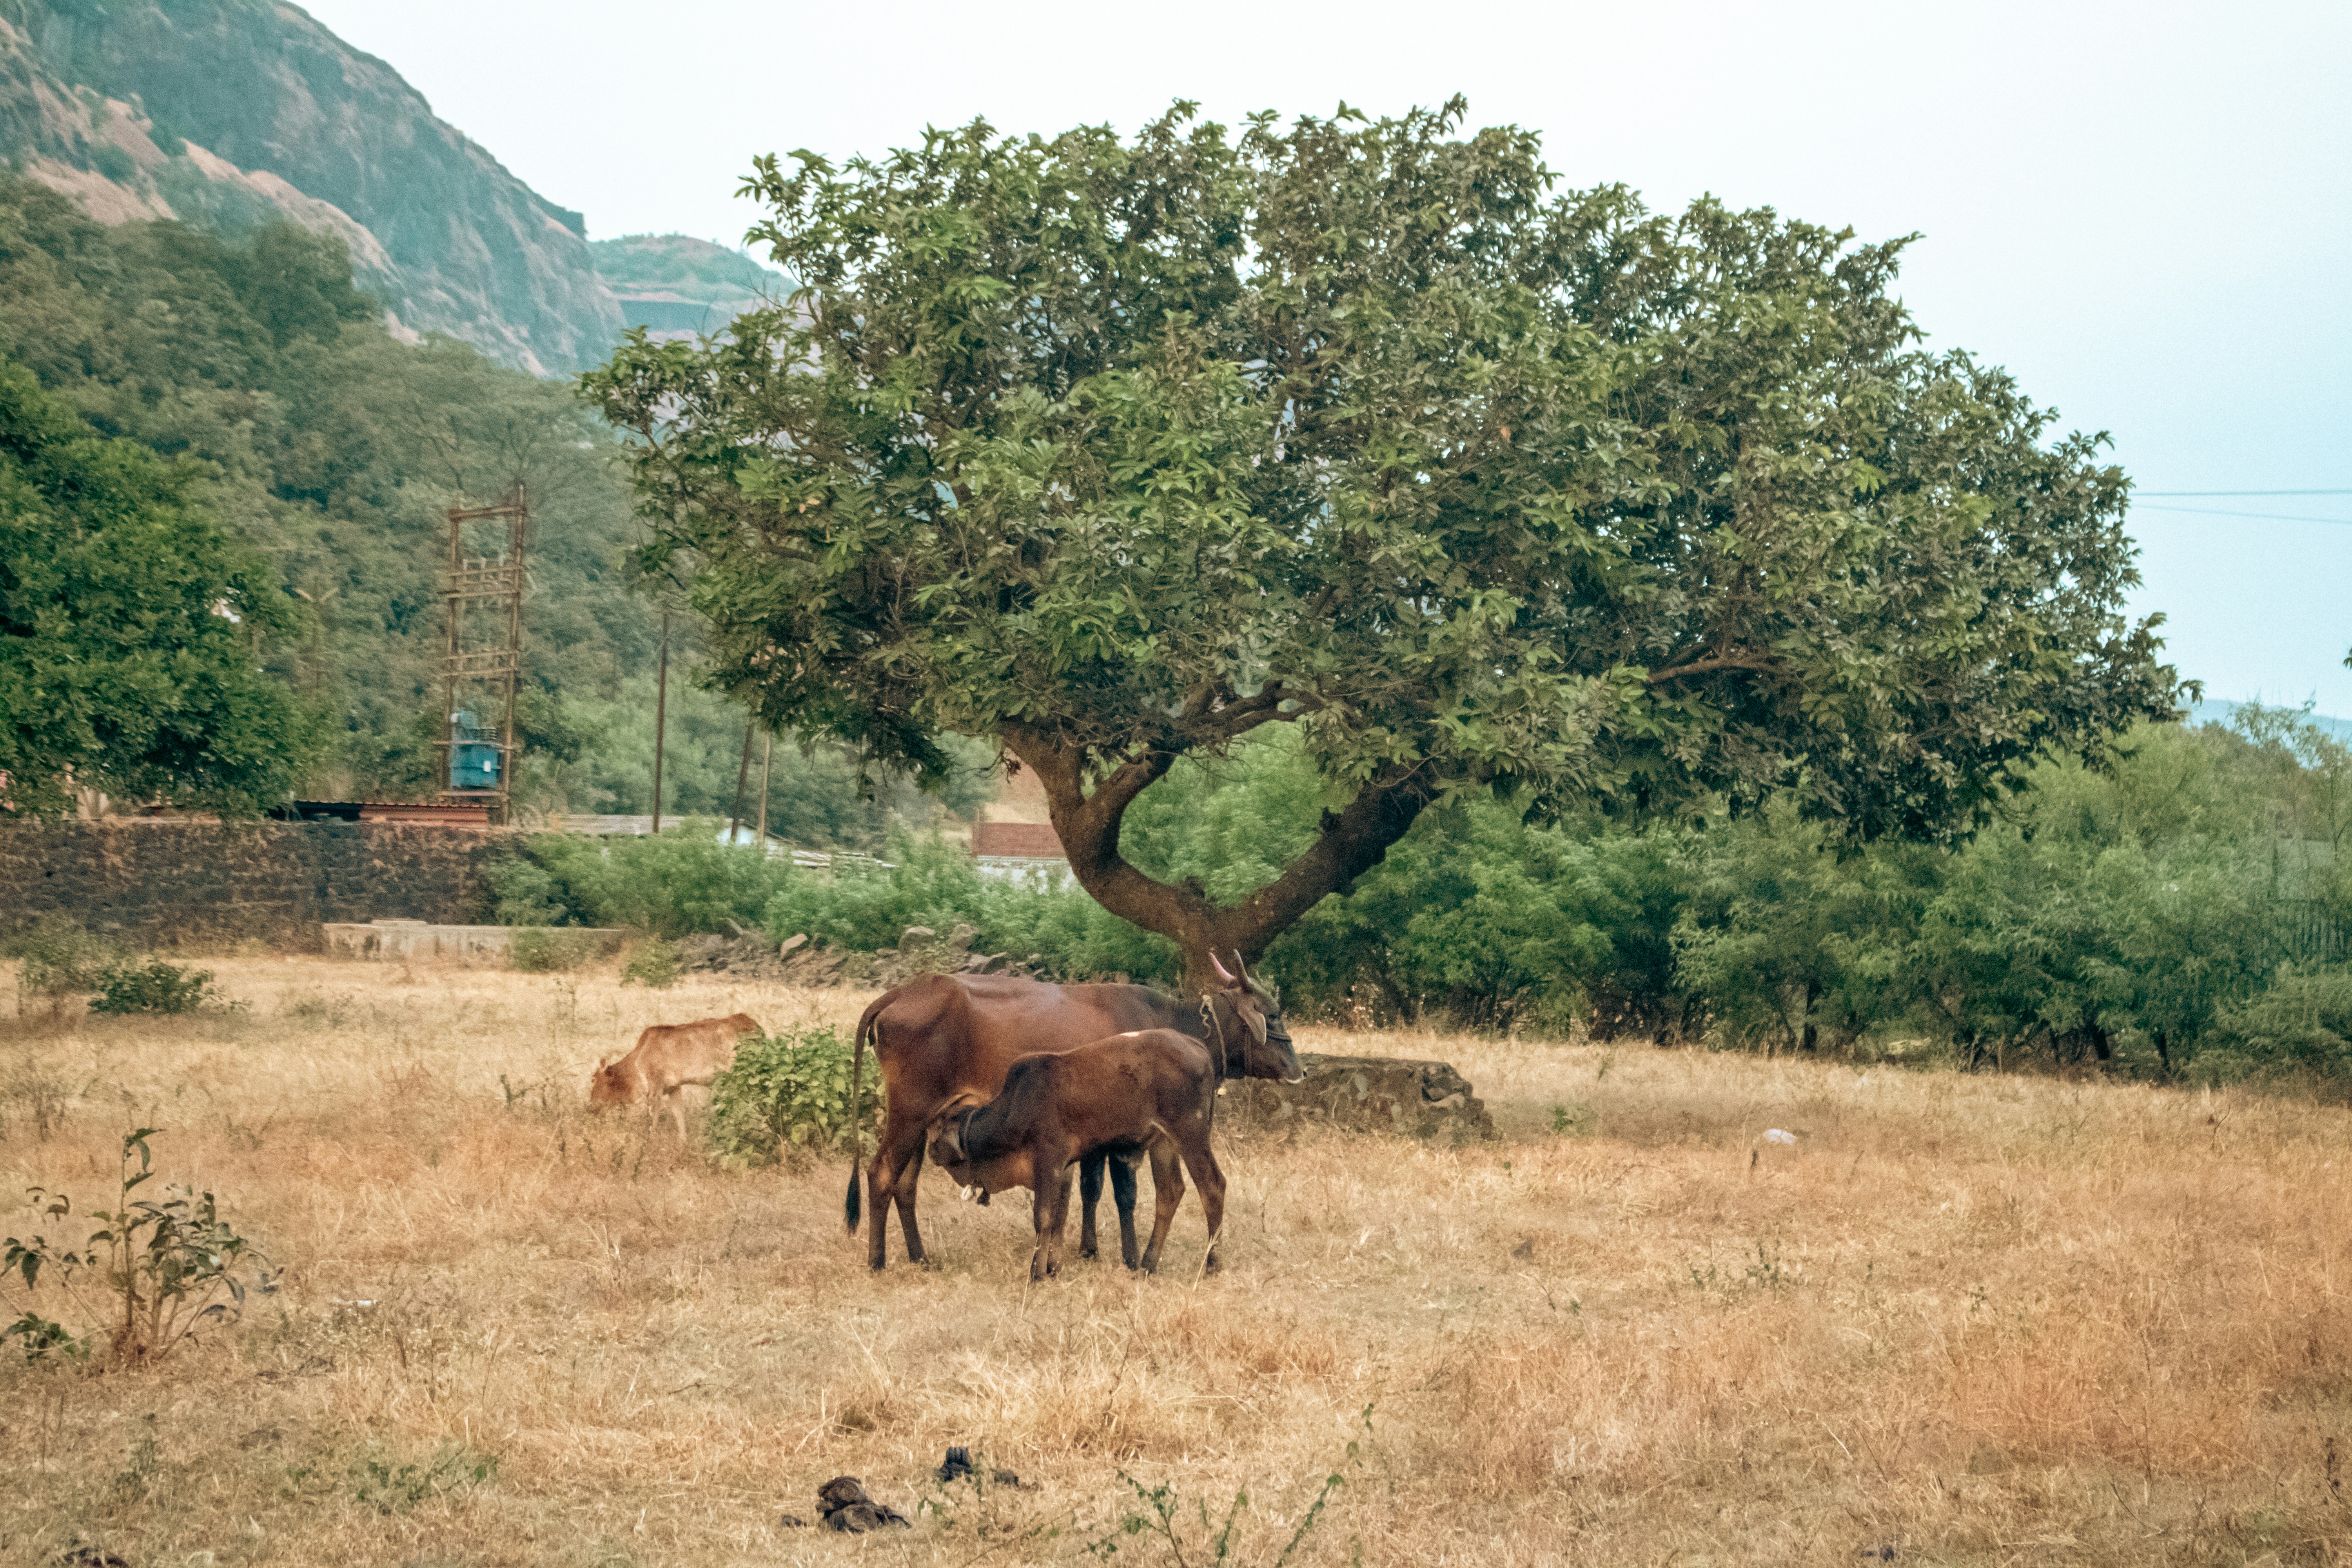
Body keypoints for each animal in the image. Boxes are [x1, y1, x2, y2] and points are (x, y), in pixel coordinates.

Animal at [587, 1012, 761, 1135]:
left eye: (594, 1080)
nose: (591, 1108)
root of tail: (751, 1023)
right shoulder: (674, 1088)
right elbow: (680, 1118)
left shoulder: (655, 1090)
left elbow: (654, 1122)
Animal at [927, 1028, 1225, 1280]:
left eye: (937, 1133)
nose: (930, 1152)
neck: (1017, 1106)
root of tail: (1196, 1045)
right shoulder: (1066, 1168)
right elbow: (1061, 1215)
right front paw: (1053, 1267)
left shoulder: (1048, 1160)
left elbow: (1044, 1217)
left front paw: (1037, 1274)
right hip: (1163, 1143)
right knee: (1169, 1193)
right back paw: (1148, 1265)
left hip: (1191, 1135)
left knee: (1213, 1187)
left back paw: (1213, 1265)